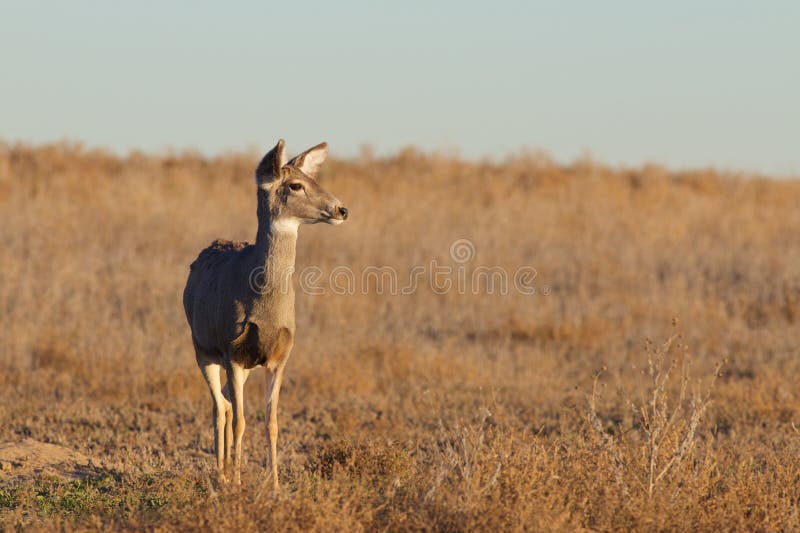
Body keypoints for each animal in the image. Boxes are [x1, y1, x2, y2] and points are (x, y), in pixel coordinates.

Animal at [183, 139, 348, 488]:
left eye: (313, 178)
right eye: (296, 185)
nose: (342, 210)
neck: (263, 302)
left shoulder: (279, 357)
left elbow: (271, 422)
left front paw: (274, 486)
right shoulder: (231, 350)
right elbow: (241, 421)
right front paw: (238, 483)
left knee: (226, 403)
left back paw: (226, 471)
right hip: (202, 348)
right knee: (220, 408)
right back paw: (222, 476)